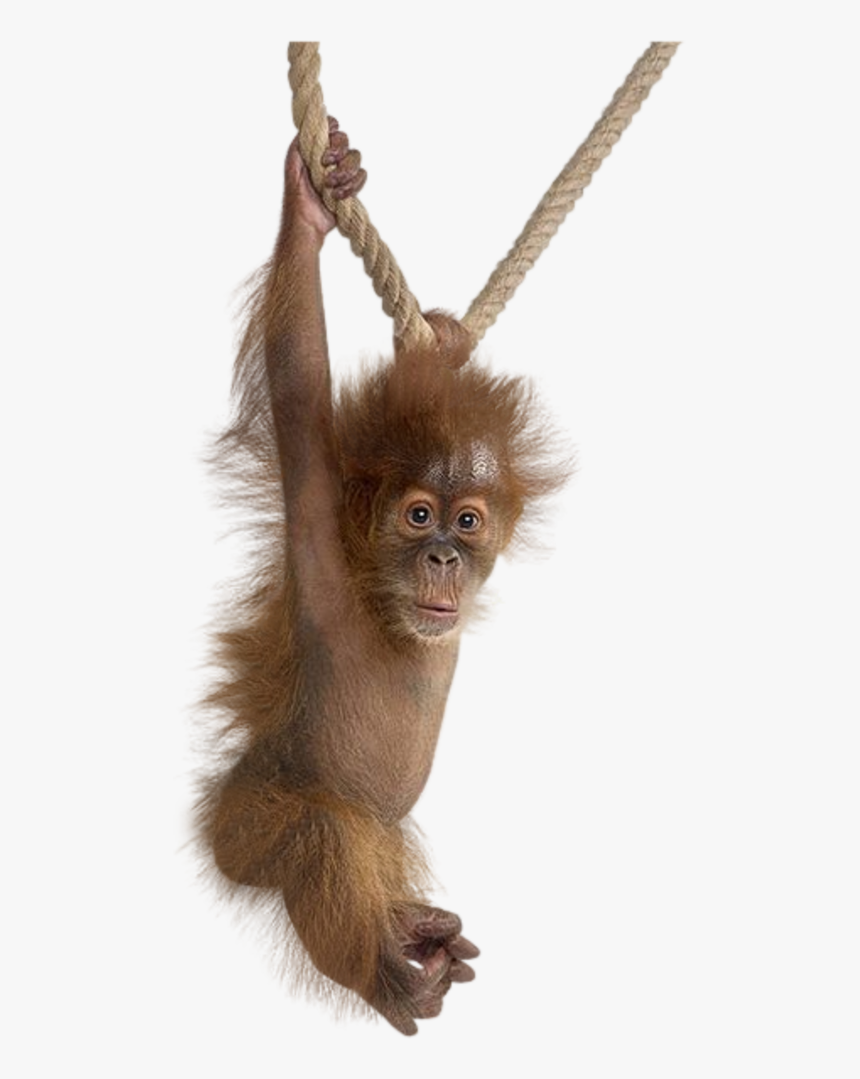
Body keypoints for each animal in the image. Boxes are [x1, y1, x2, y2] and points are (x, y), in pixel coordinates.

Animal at [196, 119, 570, 1035]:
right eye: (417, 515)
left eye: (466, 521)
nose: (442, 556)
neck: (392, 610)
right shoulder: (320, 545)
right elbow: (298, 390)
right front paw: (307, 209)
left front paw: (442, 340)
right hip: (245, 817)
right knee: (317, 839)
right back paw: (389, 975)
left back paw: (416, 931)